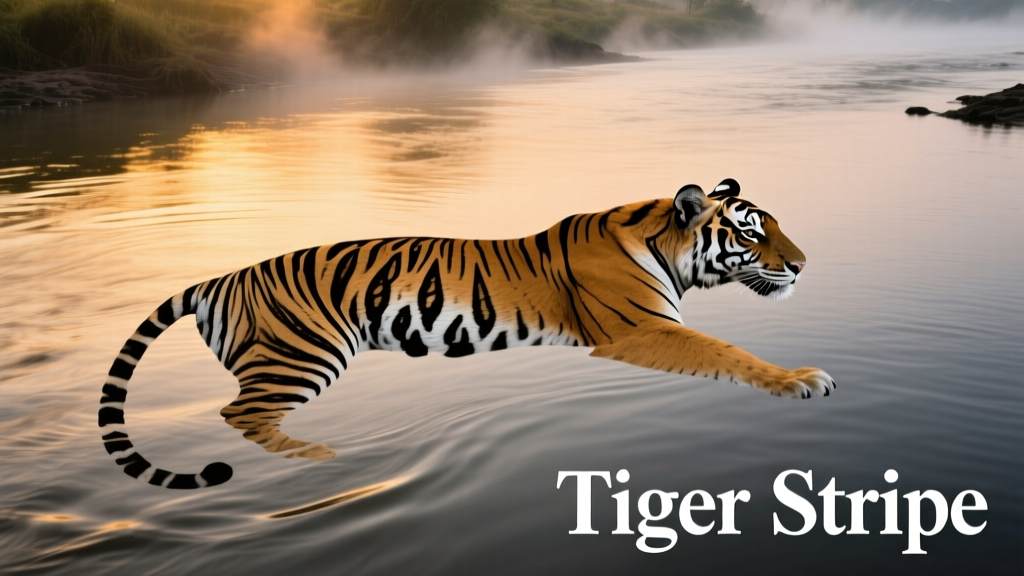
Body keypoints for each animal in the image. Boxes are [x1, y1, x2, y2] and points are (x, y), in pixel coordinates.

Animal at [99, 178, 835, 489]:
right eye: (751, 232)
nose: (803, 264)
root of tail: (223, 276)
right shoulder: (635, 331)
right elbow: (726, 351)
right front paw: (803, 379)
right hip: (304, 354)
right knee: (239, 412)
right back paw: (323, 458)